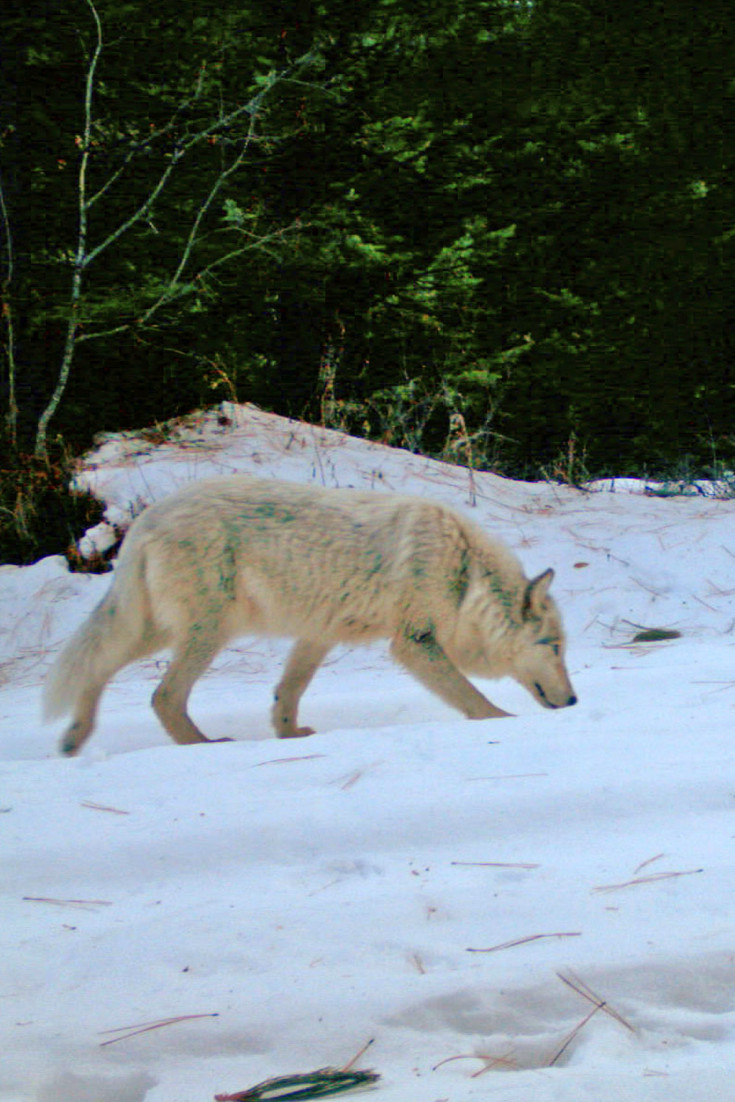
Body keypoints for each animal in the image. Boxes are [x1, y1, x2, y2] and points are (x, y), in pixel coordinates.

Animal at [45, 475, 576, 754]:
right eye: (553, 647)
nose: (573, 701)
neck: (466, 576)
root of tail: (146, 519)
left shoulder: (321, 634)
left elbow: (288, 692)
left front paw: (288, 736)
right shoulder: (413, 643)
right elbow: (471, 697)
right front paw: (503, 721)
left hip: (162, 632)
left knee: (97, 666)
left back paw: (74, 738)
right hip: (207, 634)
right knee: (162, 697)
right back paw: (206, 745)